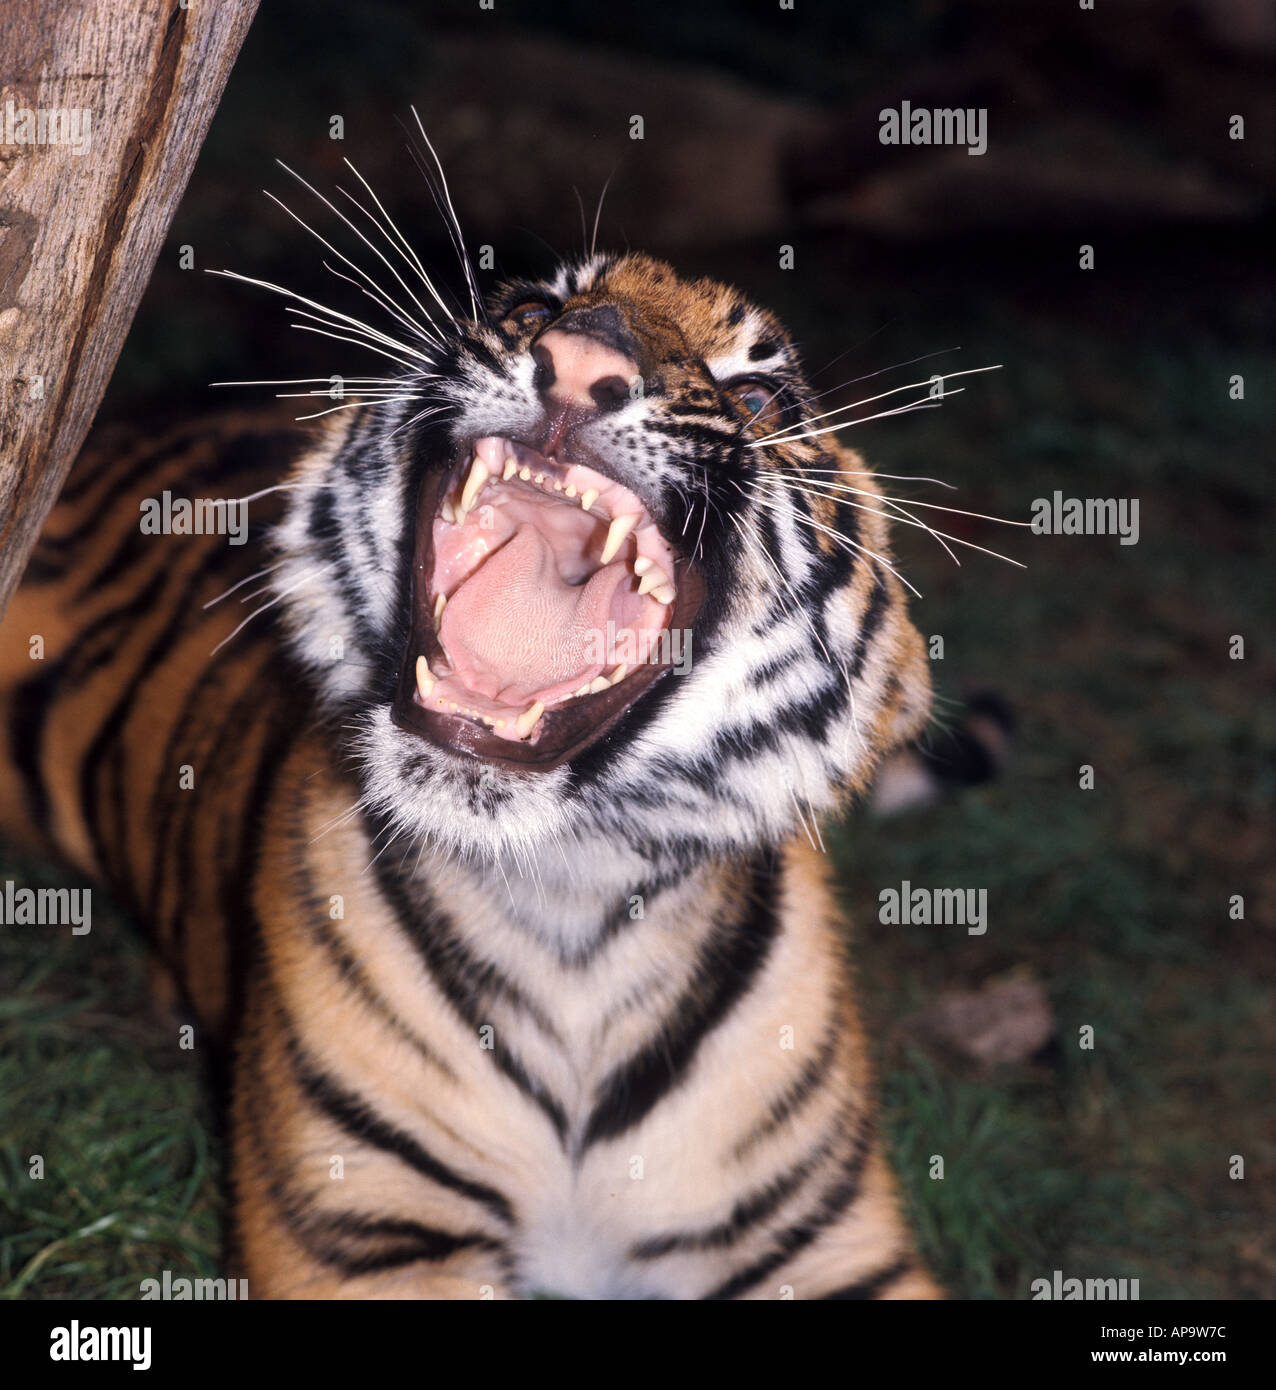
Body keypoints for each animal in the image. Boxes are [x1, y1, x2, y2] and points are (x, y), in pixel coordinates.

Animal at [0, 236, 941, 1299]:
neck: (574, 912)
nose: (580, 361)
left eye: (759, 394)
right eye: (533, 308)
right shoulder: (361, 1231)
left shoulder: (828, 1246)